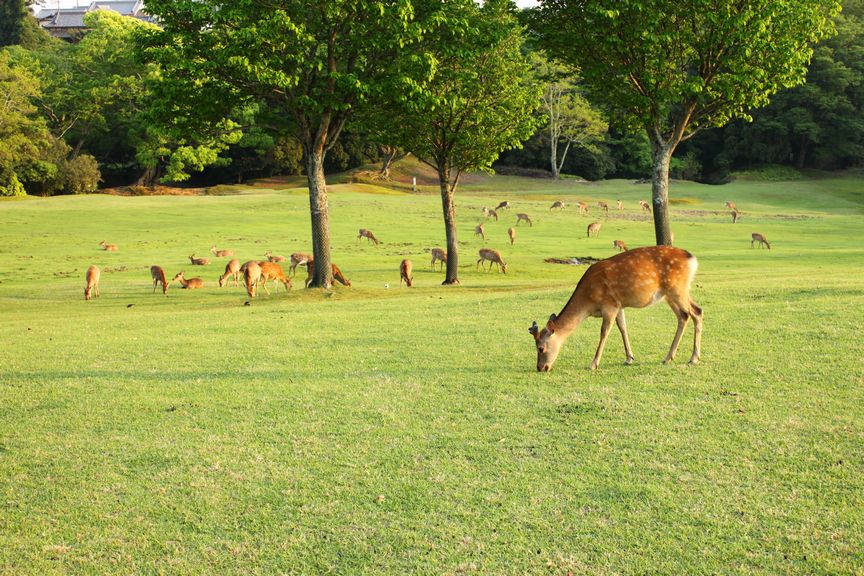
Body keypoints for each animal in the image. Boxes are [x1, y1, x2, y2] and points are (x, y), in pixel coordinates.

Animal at [529, 245, 703, 372]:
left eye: (540, 348)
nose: (540, 368)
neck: (588, 301)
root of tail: (692, 259)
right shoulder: (619, 305)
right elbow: (623, 328)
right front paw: (629, 358)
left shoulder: (609, 305)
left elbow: (604, 332)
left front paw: (593, 364)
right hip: (673, 293)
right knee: (684, 315)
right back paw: (669, 357)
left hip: (677, 288)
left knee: (696, 312)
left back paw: (693, 358)